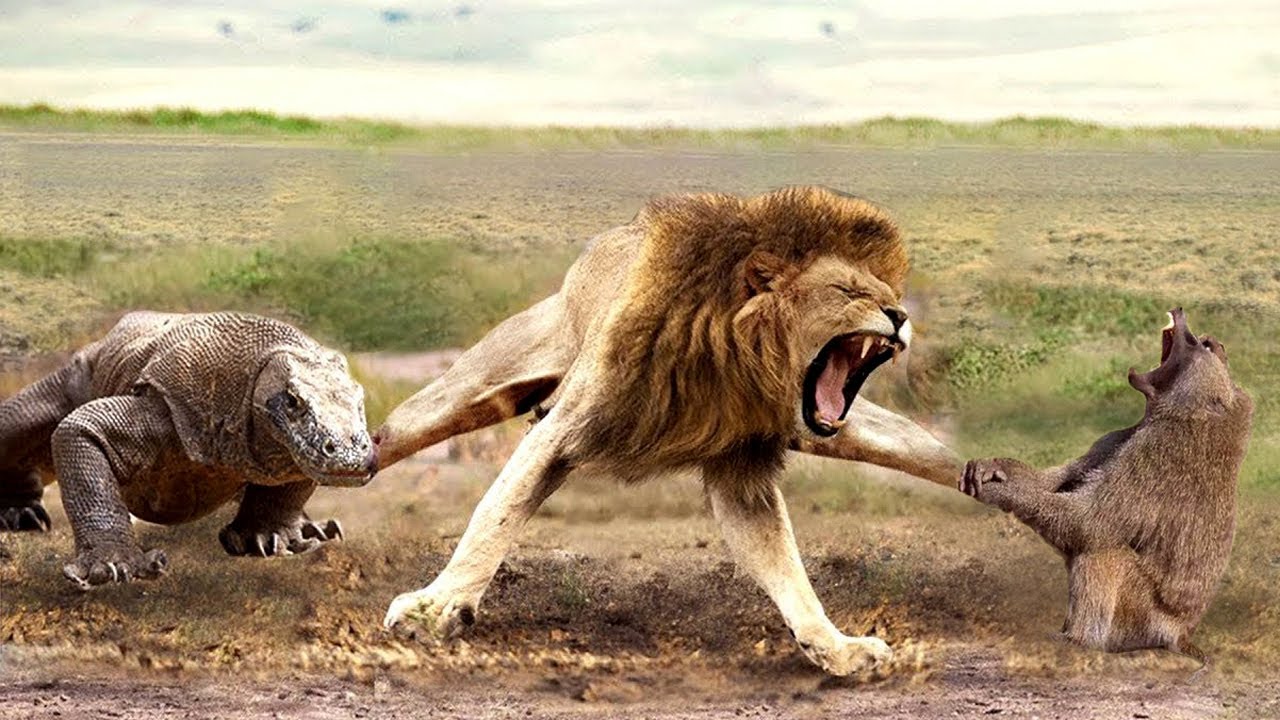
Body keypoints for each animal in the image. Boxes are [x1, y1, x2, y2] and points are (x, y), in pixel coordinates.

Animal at [376, 186, 961, 675]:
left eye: (886, 291)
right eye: (847, 290)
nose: (899, 314)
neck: (740, 359)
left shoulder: (743, 468)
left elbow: (786, 567)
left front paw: (836, 647)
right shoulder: (564, 428)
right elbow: (493, 513)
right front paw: (435, 608)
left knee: (928, 452)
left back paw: (983, 478)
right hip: (478, 383)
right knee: (397, 434)